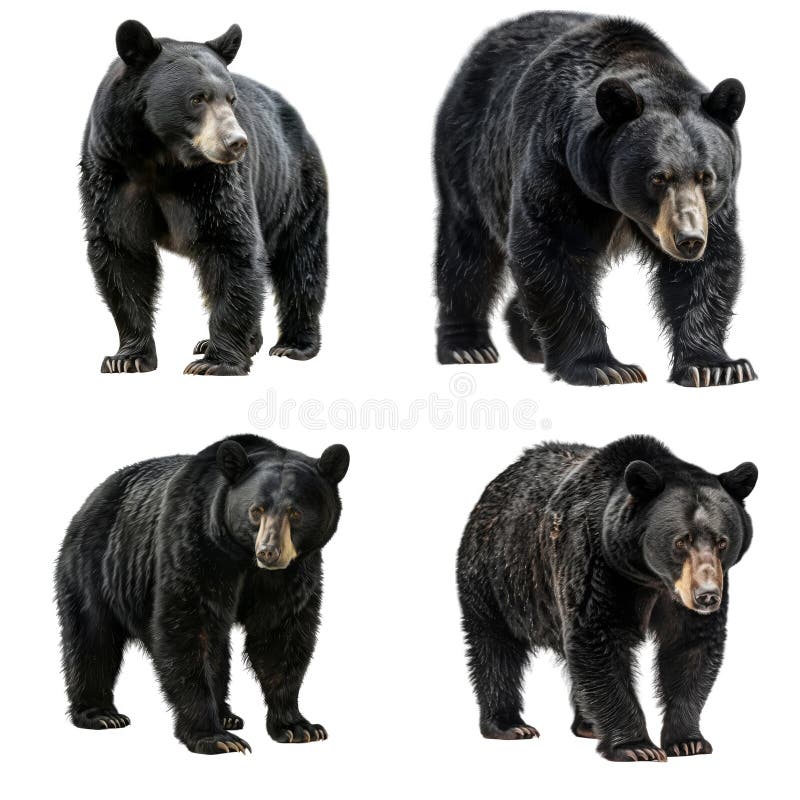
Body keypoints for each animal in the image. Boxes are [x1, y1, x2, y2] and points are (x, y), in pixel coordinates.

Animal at [55, 434, 349, 754]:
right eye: (256, 510)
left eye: (295, 512)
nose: (269, 551)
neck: (244, 558)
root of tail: (92, 498)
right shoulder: (195, 548)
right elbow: (186, 628)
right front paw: (213, 737)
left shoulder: (291, 575)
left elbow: (281, 635)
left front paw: (297, 726)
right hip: (96, 565)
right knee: (92, 637)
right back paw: (101, 715)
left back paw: (227, 715)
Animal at [80, 21, 328, 375]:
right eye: (197, 98)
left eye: (231, 99)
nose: (236, 142)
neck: (162, 158)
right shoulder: (113, 173)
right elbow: (122, 251)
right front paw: (126, 358)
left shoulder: (216, 183)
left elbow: (233, 247)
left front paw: (216, 363)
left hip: (294, 187)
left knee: (300, 260)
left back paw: (294, 345)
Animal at [434, 12, 755, 388]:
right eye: (658, 178)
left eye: (706, 177)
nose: (688, 239)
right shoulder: (558, 169)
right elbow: (551, 251)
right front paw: (604, 366)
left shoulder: (710, 210)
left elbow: (708, 267)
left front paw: (716, 366)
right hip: (469, 155)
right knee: (467, 252)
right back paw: (467, 346)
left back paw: (528, 337)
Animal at [456, 435, 757, 762]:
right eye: (680, 541)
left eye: (722, 541)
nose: (707, 596)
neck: (650, 576)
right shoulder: (596, 563)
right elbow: (600, 638)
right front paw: (637, 747)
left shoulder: (684, 595)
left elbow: (690, 647)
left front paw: (687, 741)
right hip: (497, 574)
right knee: (494, 646)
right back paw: (510, 725)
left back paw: (589, 725)